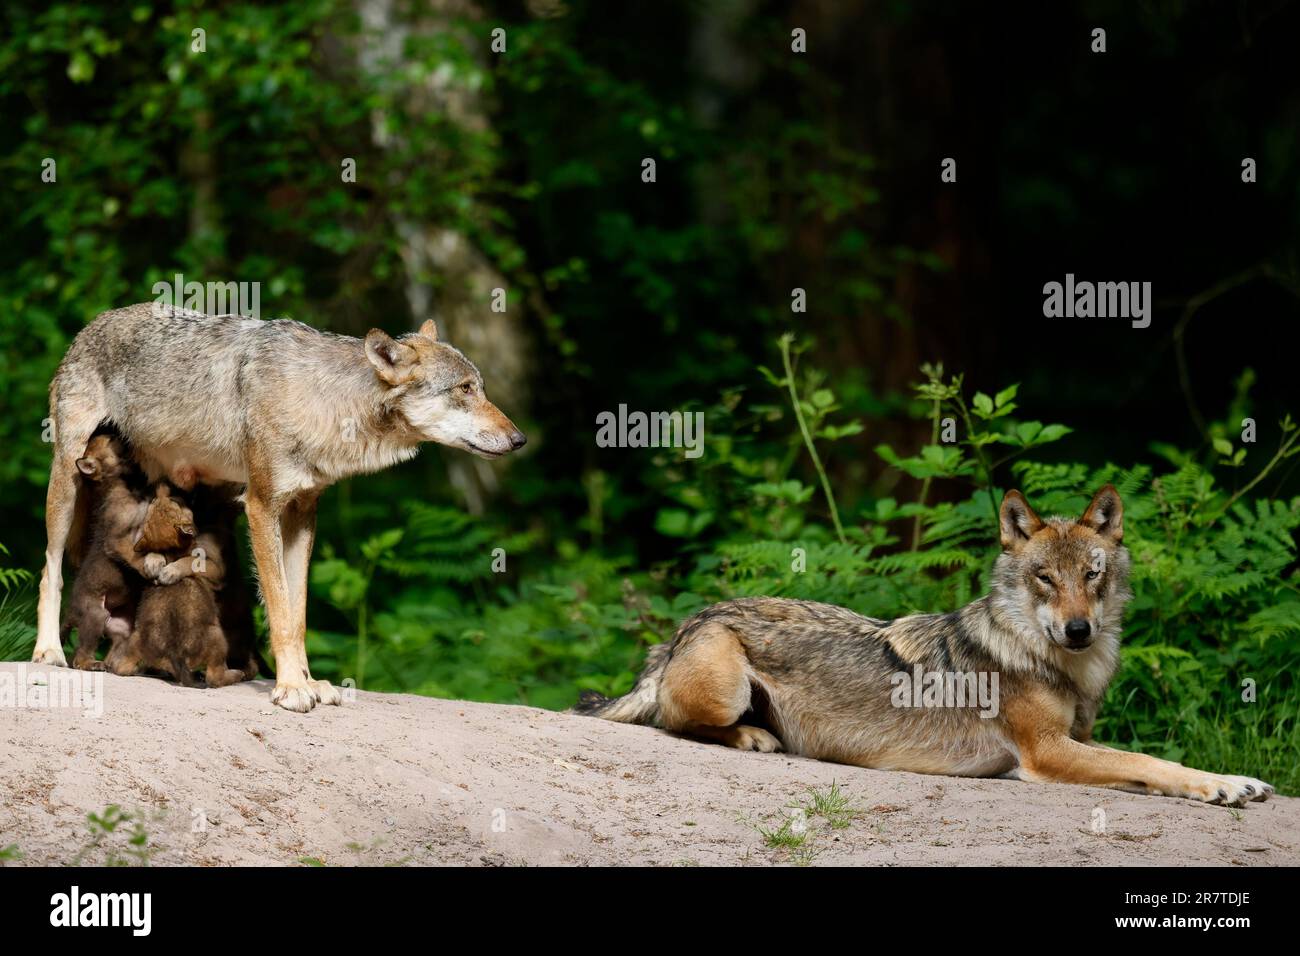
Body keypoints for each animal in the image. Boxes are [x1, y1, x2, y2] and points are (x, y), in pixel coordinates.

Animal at [34, 303, 525, 711]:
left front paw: (310, 682)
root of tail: (91, 325)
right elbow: (280, 611)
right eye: (465, 389)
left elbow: (298, 612)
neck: (324, 401)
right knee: (50, 569)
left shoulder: (303, 514)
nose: (520, 439)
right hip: (65, 484)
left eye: (480, 388)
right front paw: (291, 689)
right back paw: (48, 652)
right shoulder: (261, 506)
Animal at [575, 486, 1274, 806]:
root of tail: (685, 625)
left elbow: (1149, 759)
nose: (1078, 630)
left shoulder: (1076, 737)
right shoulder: (1046, 753)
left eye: (1092, 575)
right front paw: (1224, 787)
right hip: (725, 683)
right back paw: (753, 736)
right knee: (673, 722)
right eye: (1045, 579)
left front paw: (1233, 780)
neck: (1053, 660)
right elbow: (1153, 762)